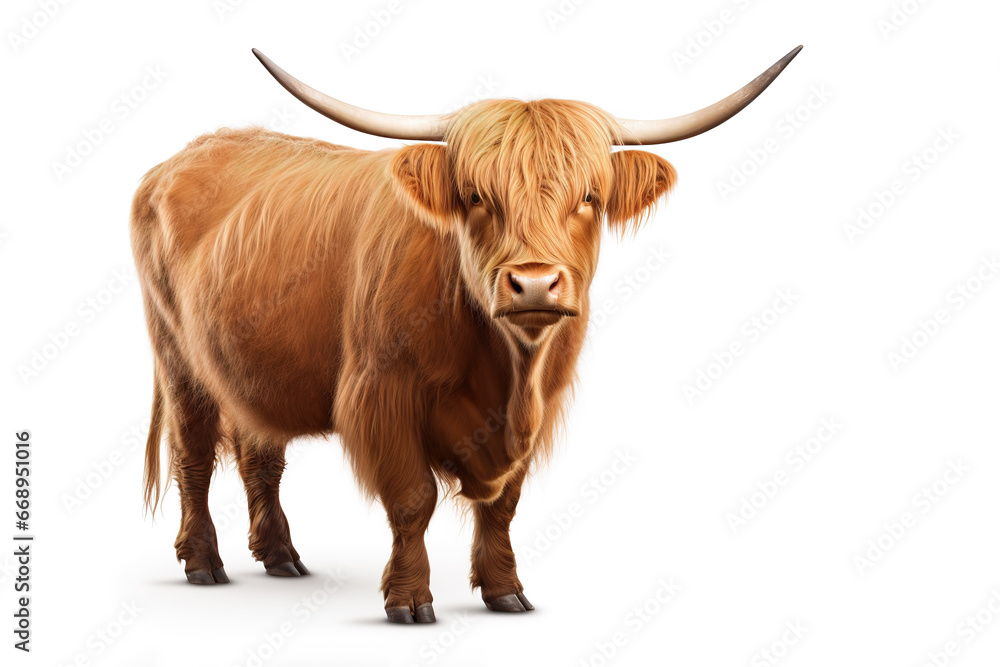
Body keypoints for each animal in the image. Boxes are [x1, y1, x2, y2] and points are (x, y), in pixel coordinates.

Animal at [131, 46, 801, 623]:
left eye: (589, 197)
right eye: (477, 196)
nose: (534, 284)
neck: (505, 376)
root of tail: (178, 160)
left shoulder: (537, 411)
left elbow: (503, 505)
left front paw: (505, 590)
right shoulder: (382, 394)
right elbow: (413, 498)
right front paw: (409, 599)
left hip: (251, 365)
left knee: (261, 454)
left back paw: (280, 556)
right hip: (177, 357)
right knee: (193, 454)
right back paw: (204, 562)